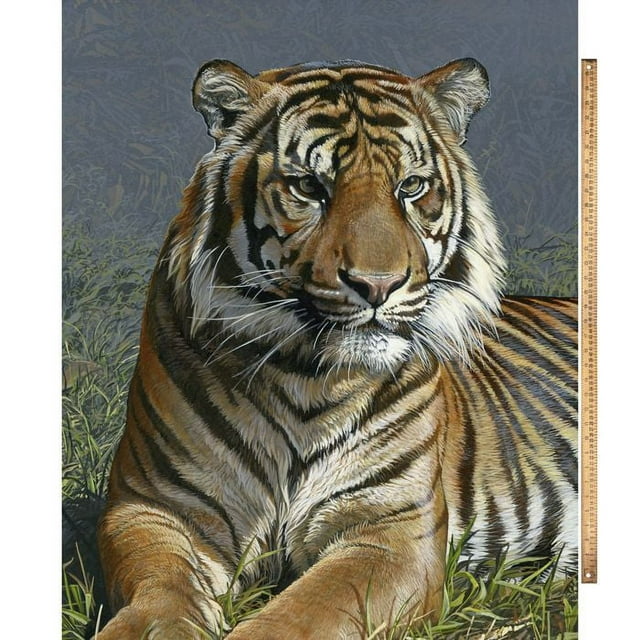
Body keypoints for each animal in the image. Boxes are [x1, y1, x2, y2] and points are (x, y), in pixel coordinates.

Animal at [96, 57, 578, 640]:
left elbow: (301, 615)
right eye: (310, 186)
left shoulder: (391, 529)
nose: (377, 285)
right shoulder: (158, 506)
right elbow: (160, 598)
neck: (304, 377)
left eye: (411, 187)